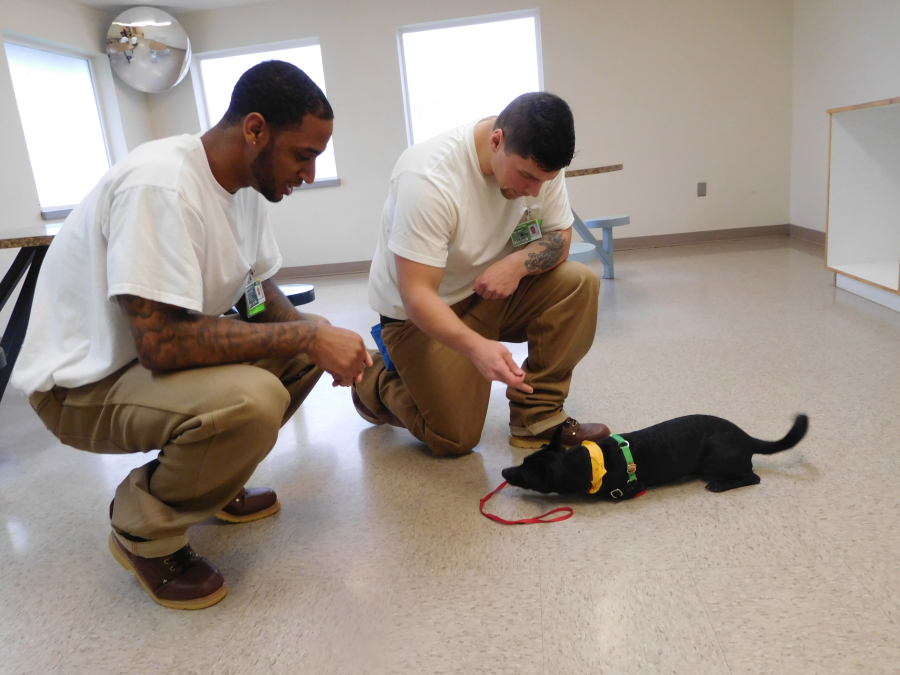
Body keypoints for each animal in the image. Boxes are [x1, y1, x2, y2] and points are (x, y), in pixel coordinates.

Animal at [500, 414, 808, 500]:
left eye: (526, 474)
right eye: (523, 463)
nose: (503, 472)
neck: (592, 461)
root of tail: (746, 437)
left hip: (717, 455)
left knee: (752, 476)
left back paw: (721, 484)